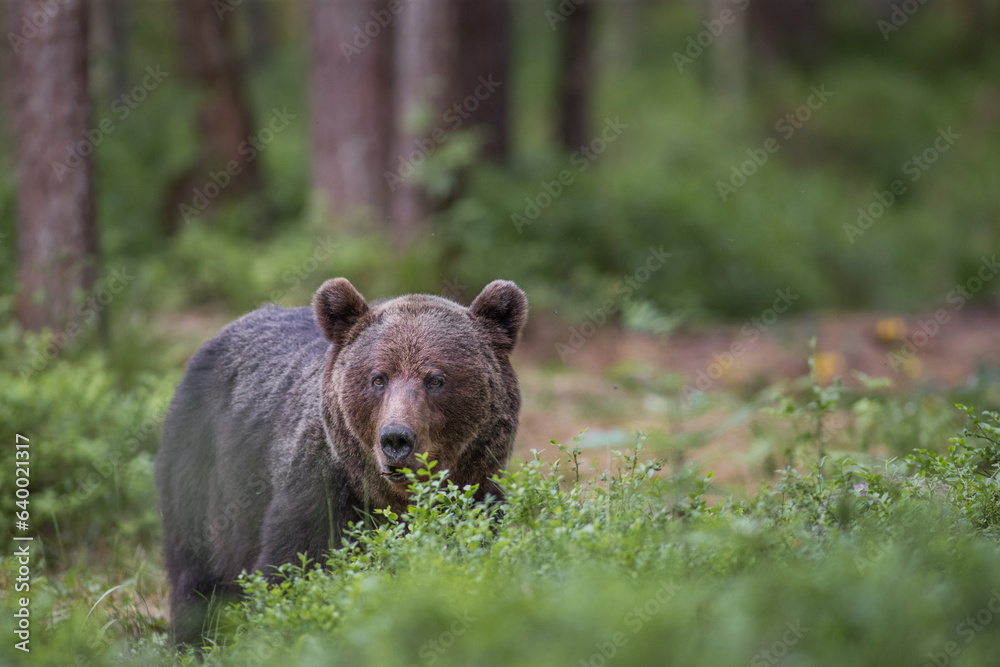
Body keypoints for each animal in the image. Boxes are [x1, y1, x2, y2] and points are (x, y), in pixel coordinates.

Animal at [155, 278, 527, 645]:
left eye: (436, 379)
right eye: (378, 378)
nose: (396, 439)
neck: (389, 499)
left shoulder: (477, 495)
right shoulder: (319, 495)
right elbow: (292, 571)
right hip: (201, 465)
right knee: (196, 573)